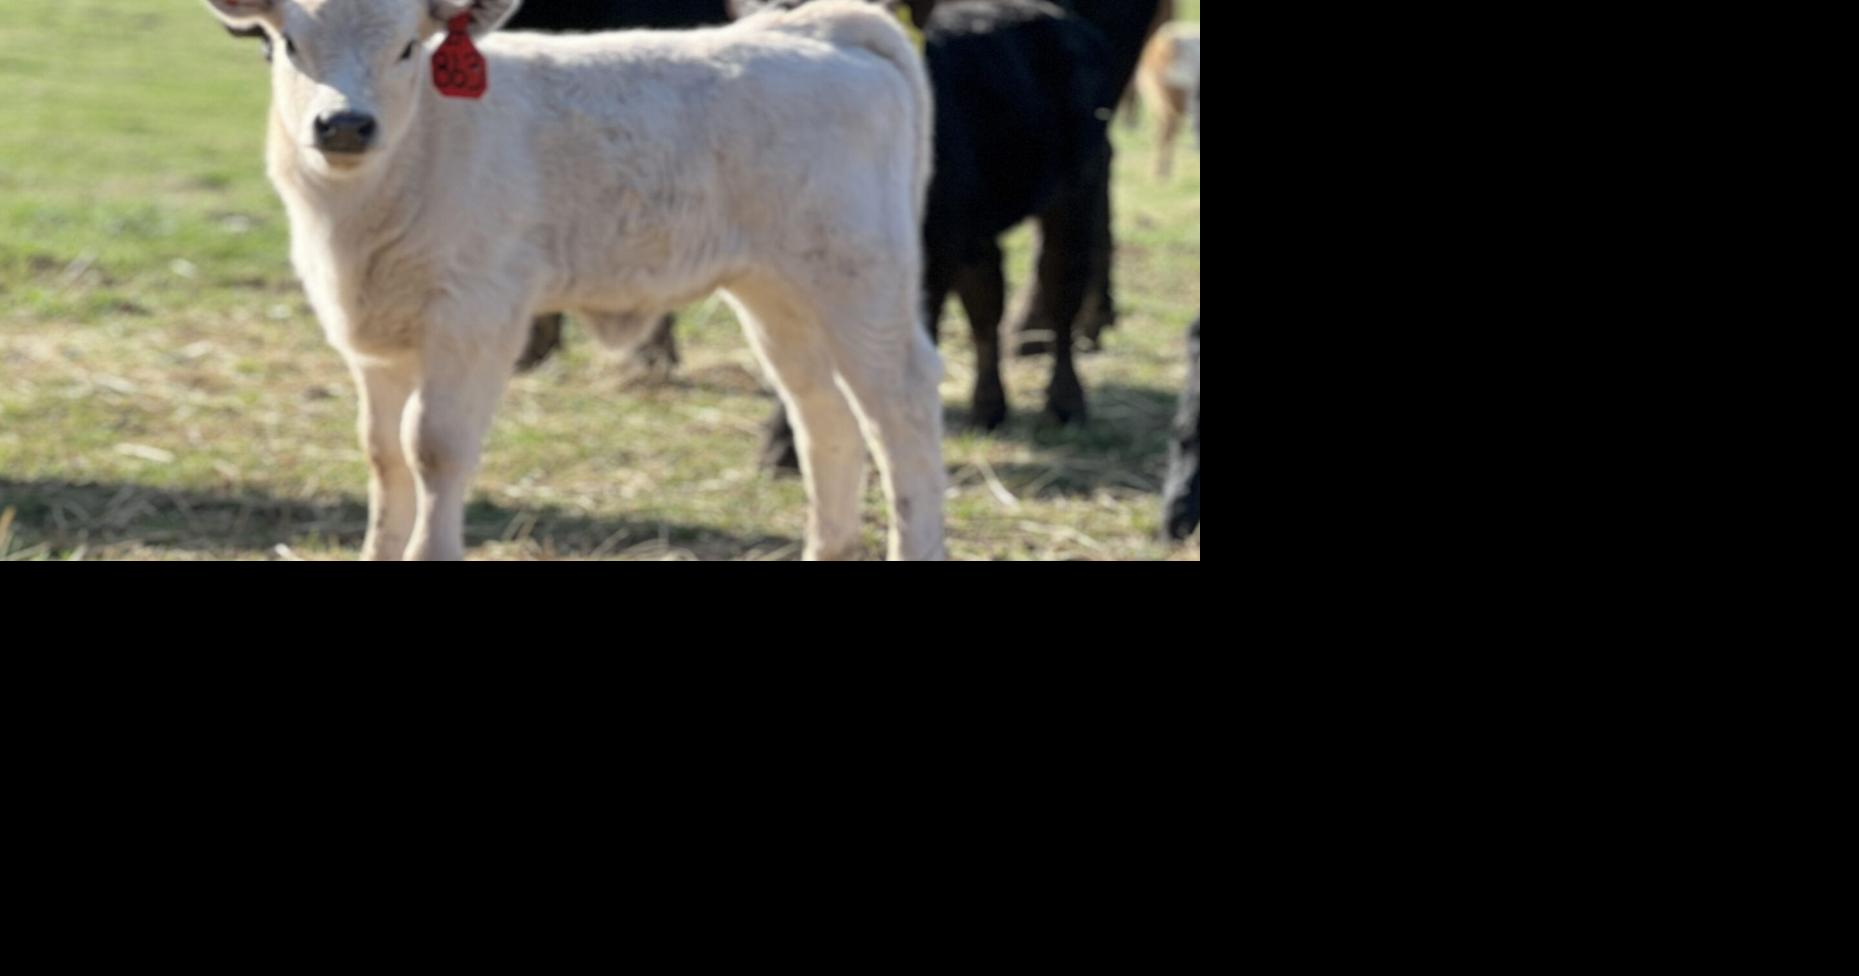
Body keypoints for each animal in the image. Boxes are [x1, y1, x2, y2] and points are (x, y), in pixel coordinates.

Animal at [202, 0, 945, 560]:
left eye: (408, 48)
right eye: (288, 43)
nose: (345, 124)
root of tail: (813, 29)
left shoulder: (476, 315)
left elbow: (434, 446)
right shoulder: (374, 338)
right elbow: (384, 457)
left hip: (861, 280)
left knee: (900, 409)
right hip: (778, 294)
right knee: (822, 413)